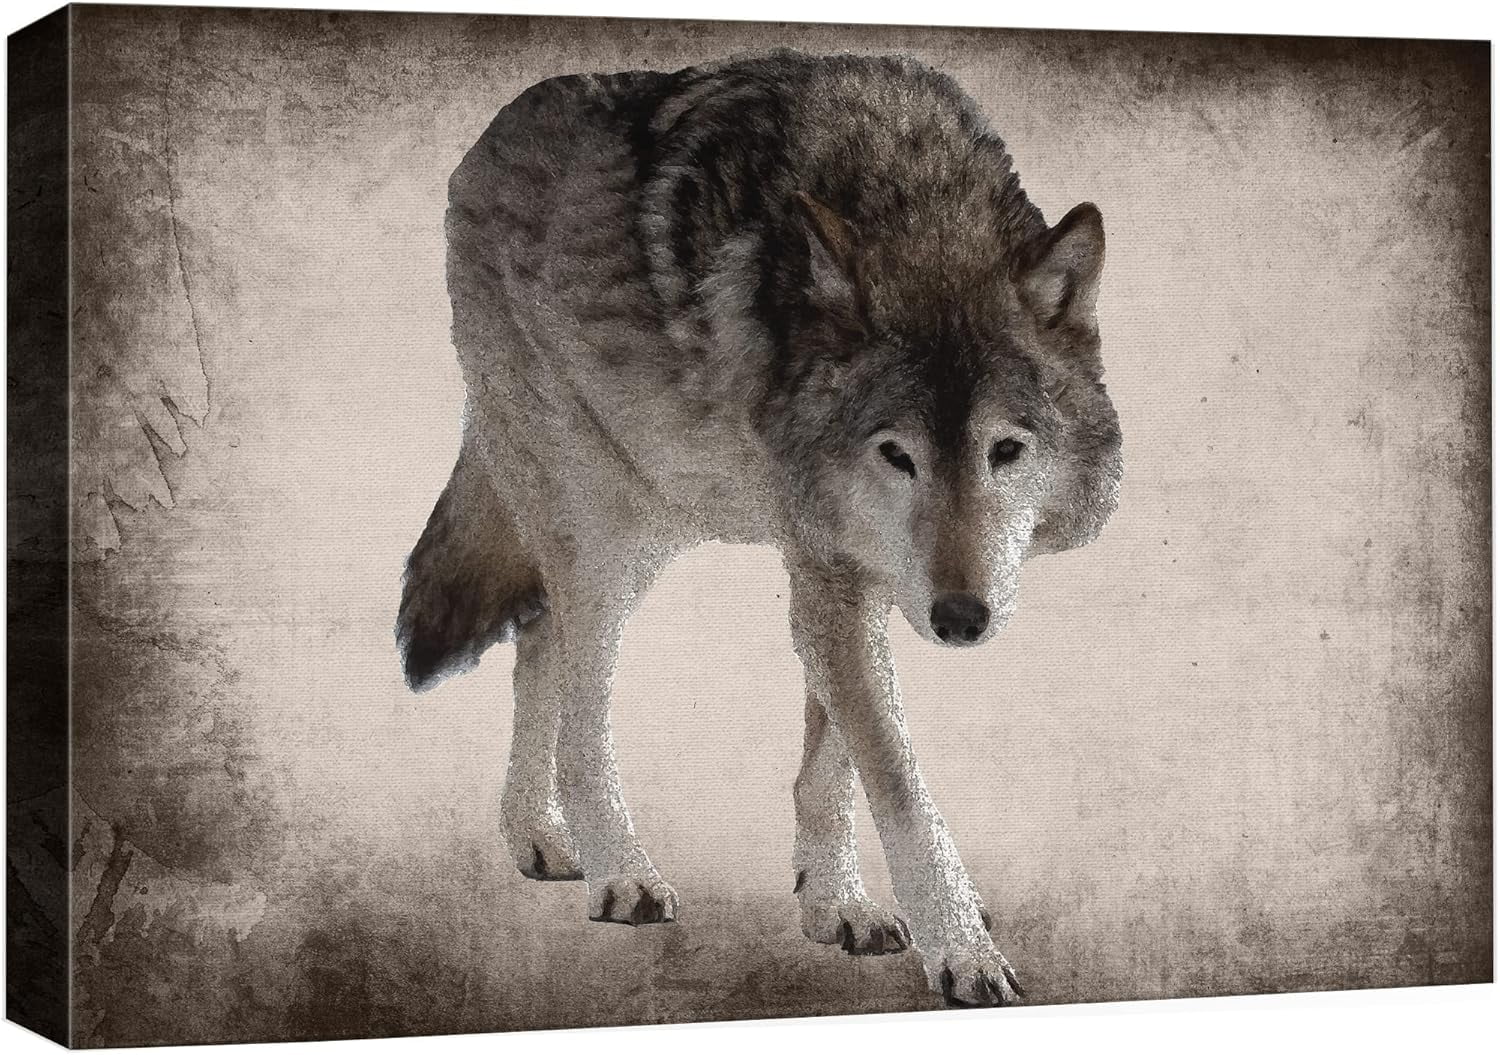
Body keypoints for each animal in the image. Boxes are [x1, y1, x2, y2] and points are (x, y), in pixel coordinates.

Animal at [397, 51, 1122, 1008]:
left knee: (537, 635)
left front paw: (836, 902)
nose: (961, 619)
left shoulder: (854, 568)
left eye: (1006, 449)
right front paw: (961, 947)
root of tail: (487, 134)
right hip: (600, 528)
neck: (913, 198)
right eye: (898, 455)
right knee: (581, 708)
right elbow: (896, 779)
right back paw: (618, 869)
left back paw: (539, 836)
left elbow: (834, 765)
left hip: (647, 517)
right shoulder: (835, 572)